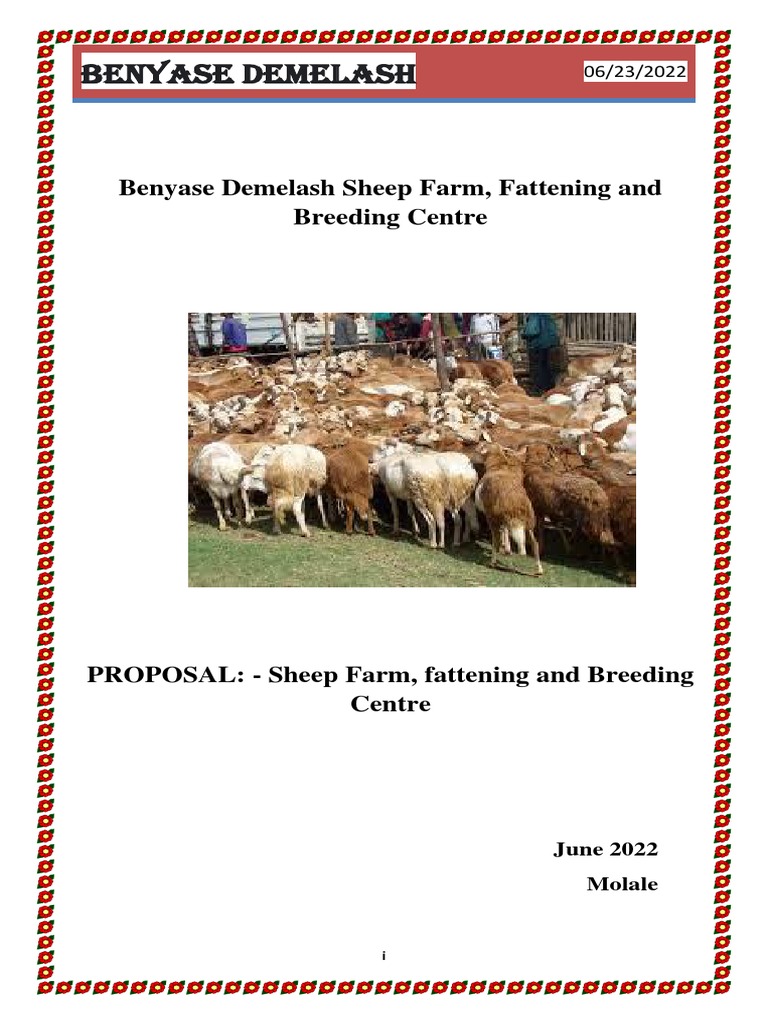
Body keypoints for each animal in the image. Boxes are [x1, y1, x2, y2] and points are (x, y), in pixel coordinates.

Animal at [475, 445, 542, 574]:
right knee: (535, 543)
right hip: (529, 522)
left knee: (495, 539)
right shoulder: (506, 523)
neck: (497, 466)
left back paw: (493, 562)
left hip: (493, 518)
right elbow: (506, 536)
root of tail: (516, 505)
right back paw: (539, 570)